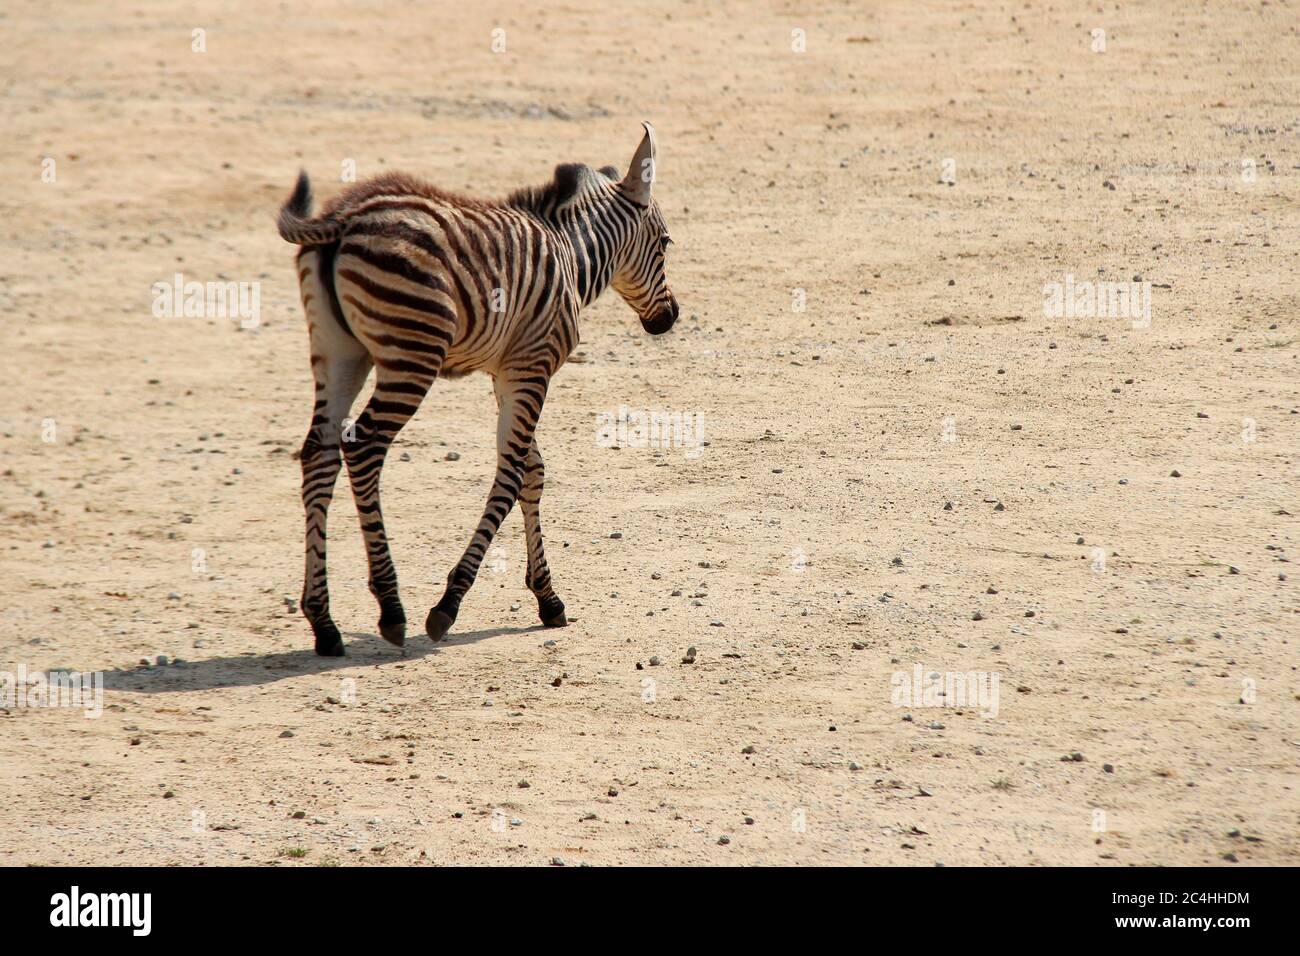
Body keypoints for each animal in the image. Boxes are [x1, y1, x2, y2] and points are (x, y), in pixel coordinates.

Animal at [277, 123, 678, 656]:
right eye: (666, 243)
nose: (670, 318)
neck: (570, 252)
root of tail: (344, 217)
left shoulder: (508, 371)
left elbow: (533, 471)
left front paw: (548, 597)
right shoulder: (532, 366)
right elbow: (511, 476)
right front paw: (450, 602)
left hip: (339, 353)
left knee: (317, 456)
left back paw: (323, 623)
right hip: (411, 353)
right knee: (363, 449)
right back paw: (391, 607)